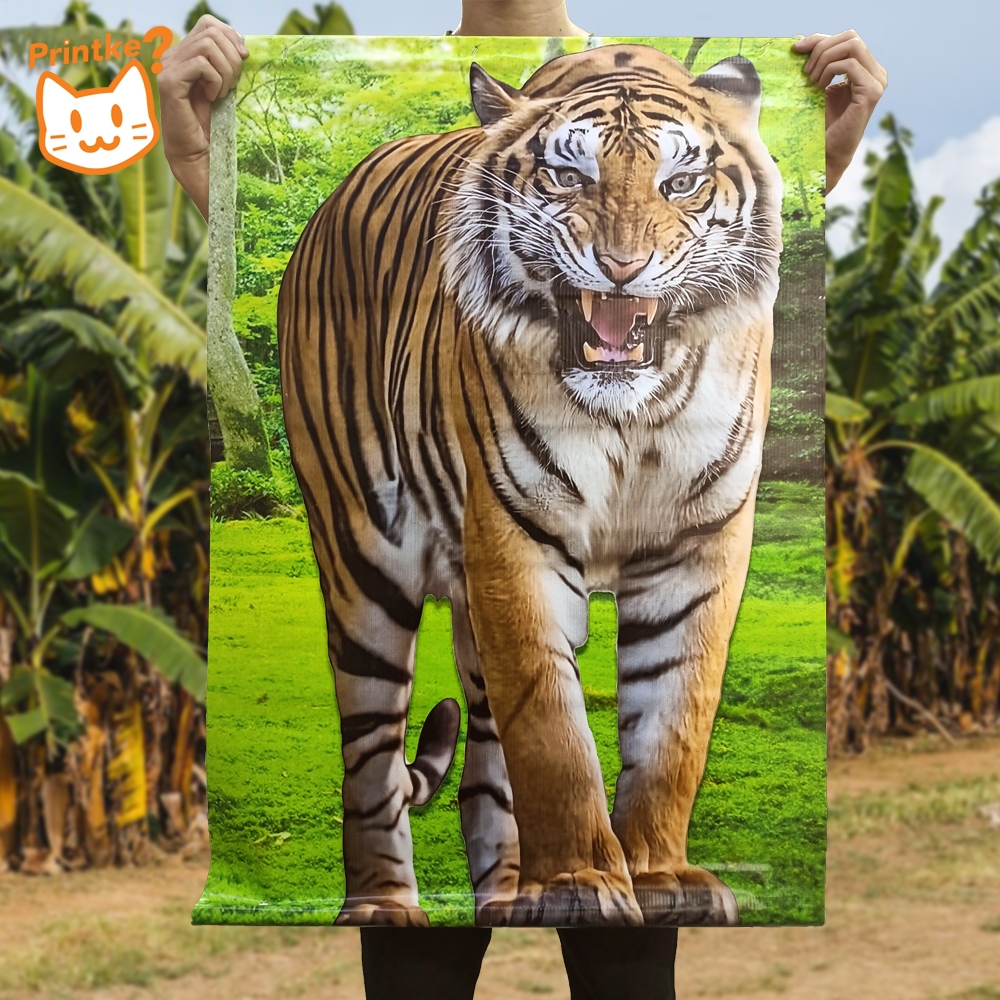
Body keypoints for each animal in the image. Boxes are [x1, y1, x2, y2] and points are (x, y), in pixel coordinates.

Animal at [277, 43, 783, 928]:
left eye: (681, 182)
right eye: (568, 178)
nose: (622, 269)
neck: (635, 415)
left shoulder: (698, 548)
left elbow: (673, 725)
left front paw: (660, 876)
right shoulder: (516, 540)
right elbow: (551, 734)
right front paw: (580, 883)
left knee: (483, 766)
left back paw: (510, 894)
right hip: (361, 560)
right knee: (372, 756)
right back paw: (383, 903)